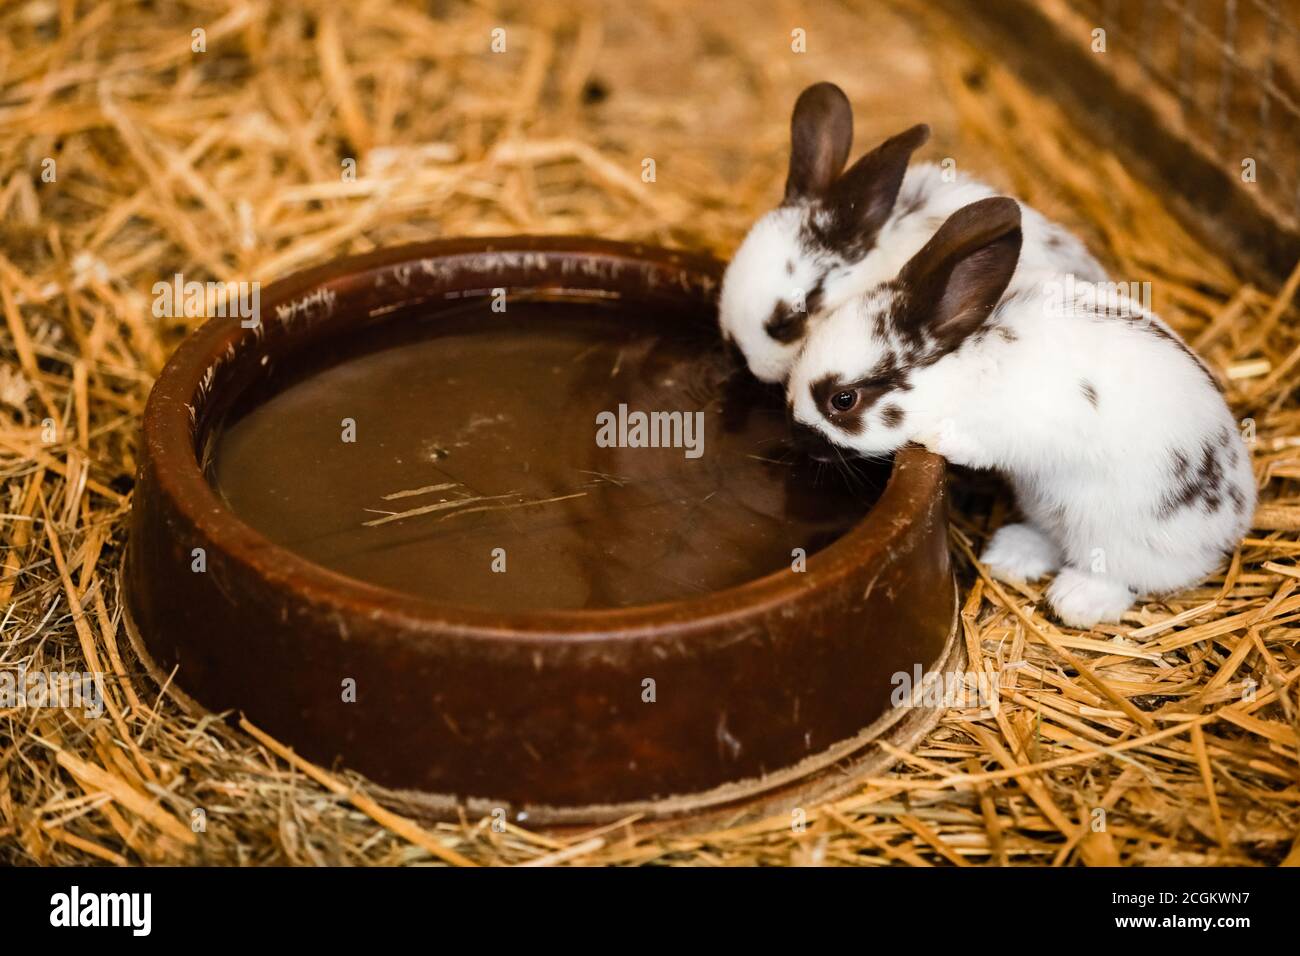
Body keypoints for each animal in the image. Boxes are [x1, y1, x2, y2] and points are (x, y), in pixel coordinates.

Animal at [785, 196, 1256, 628]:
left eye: (843, 400)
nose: (797, 437)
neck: (960, 368)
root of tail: (1234, 521)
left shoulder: (1026, 424)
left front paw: (937, 437)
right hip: (1044, 503)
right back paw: (1009, 553)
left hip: (1117, 533)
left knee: (1127, 575)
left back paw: (1075, 599)